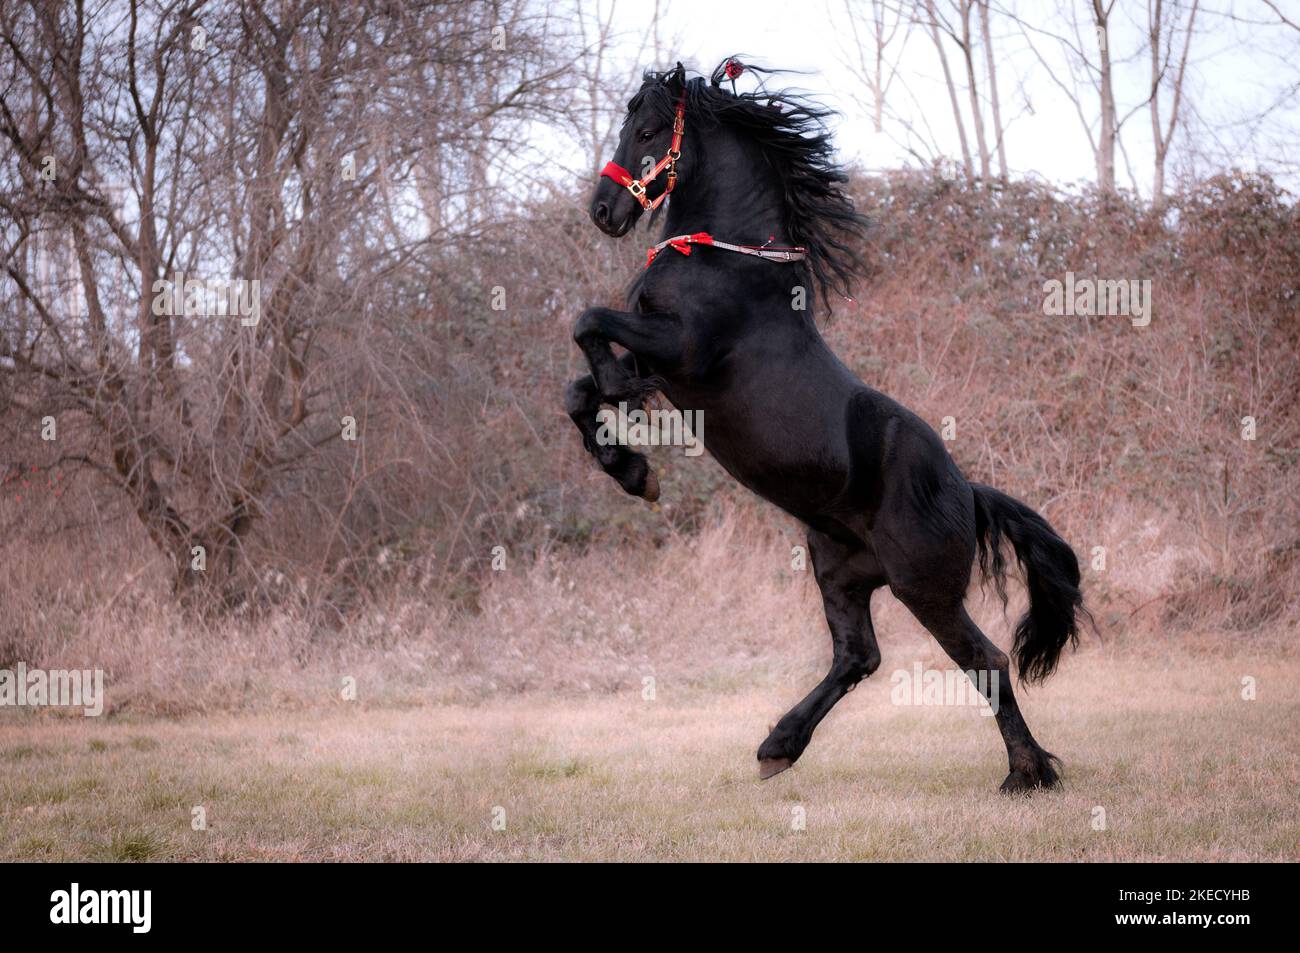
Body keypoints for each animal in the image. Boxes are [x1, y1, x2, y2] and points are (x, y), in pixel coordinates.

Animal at [569, 57, 1086, 790]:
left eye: (645, 129)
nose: (604, 211)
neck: (726, 260)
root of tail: (967, 491)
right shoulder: (656, 362)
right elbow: (578, 390)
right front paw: (631, 470)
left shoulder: (680, 351)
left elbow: (589, 327)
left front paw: (632, 451)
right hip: (838, 569)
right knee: (857, 656)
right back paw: (778, 745)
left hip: (924, 586)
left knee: (982, 658)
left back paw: (1026, 773)